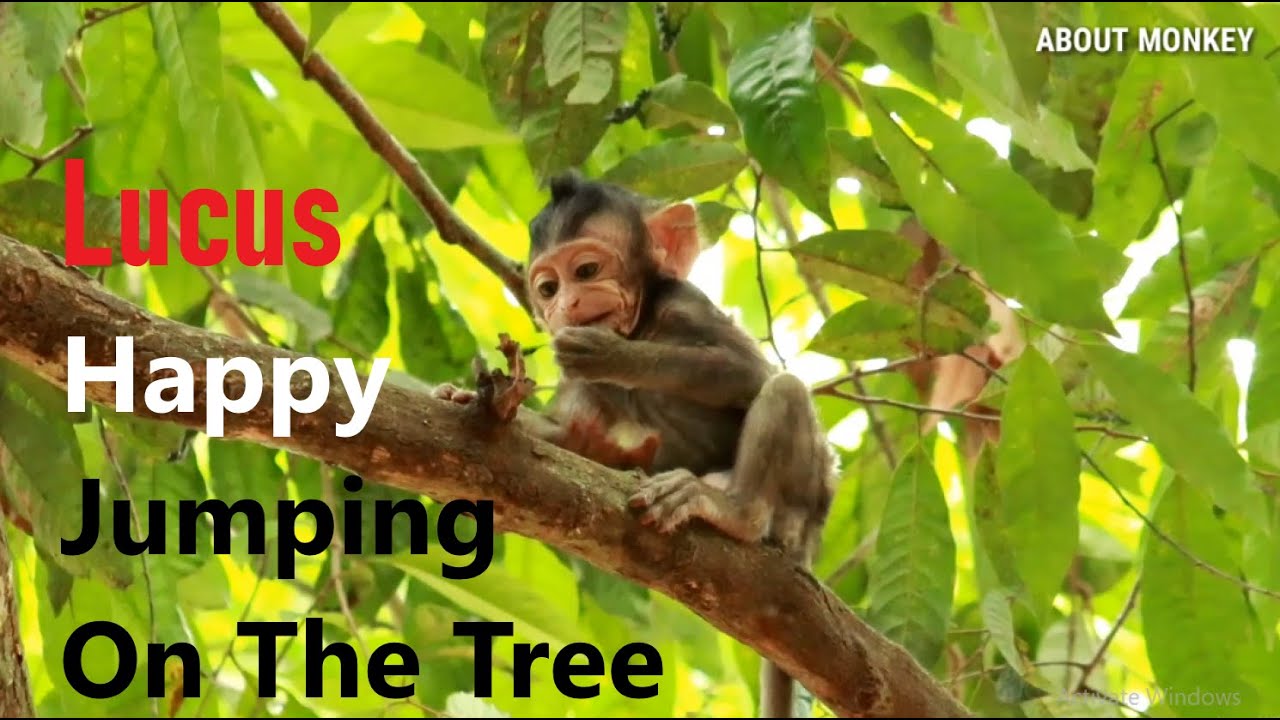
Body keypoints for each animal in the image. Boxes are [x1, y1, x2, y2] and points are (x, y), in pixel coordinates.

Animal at [434, 173, 837, 717]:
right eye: (548, 288)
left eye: (586, 270)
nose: (564, 306)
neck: (643, 321)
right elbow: (569, 436)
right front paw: (464, 398)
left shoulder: (685, 304)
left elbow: (747, 374)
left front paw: (614, 354)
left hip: (803, 497)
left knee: (785, 390)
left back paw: (731, 509)